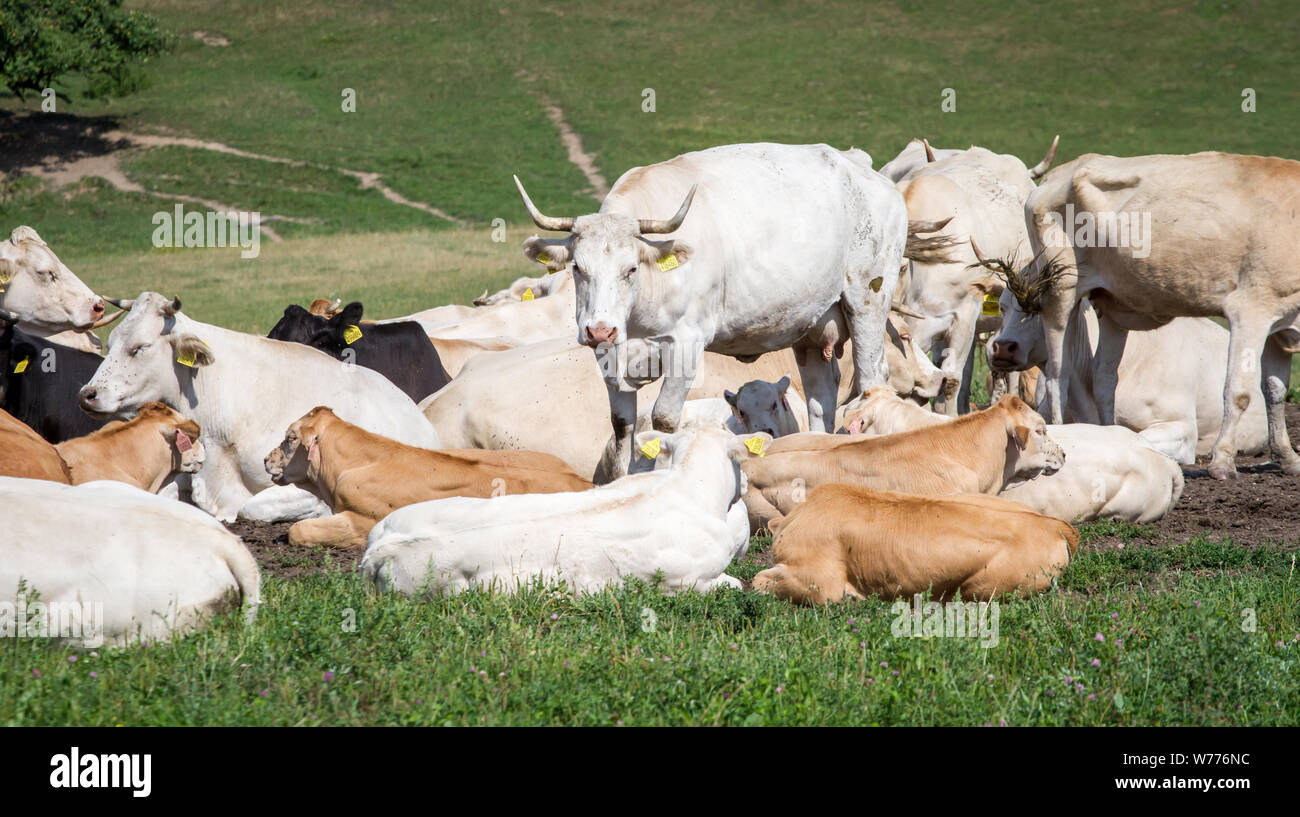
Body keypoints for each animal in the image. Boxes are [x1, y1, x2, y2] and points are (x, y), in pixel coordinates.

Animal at [514, 142, 907, 478]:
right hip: (810, 327)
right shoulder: (610, 358)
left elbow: (664, 419)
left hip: (867, 300)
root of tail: (857, 165)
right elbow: (621, 426)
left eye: (631, 269)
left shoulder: (687, 344)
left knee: (872, 376)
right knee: (820, 395)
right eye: (578, 267)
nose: (599, 330)